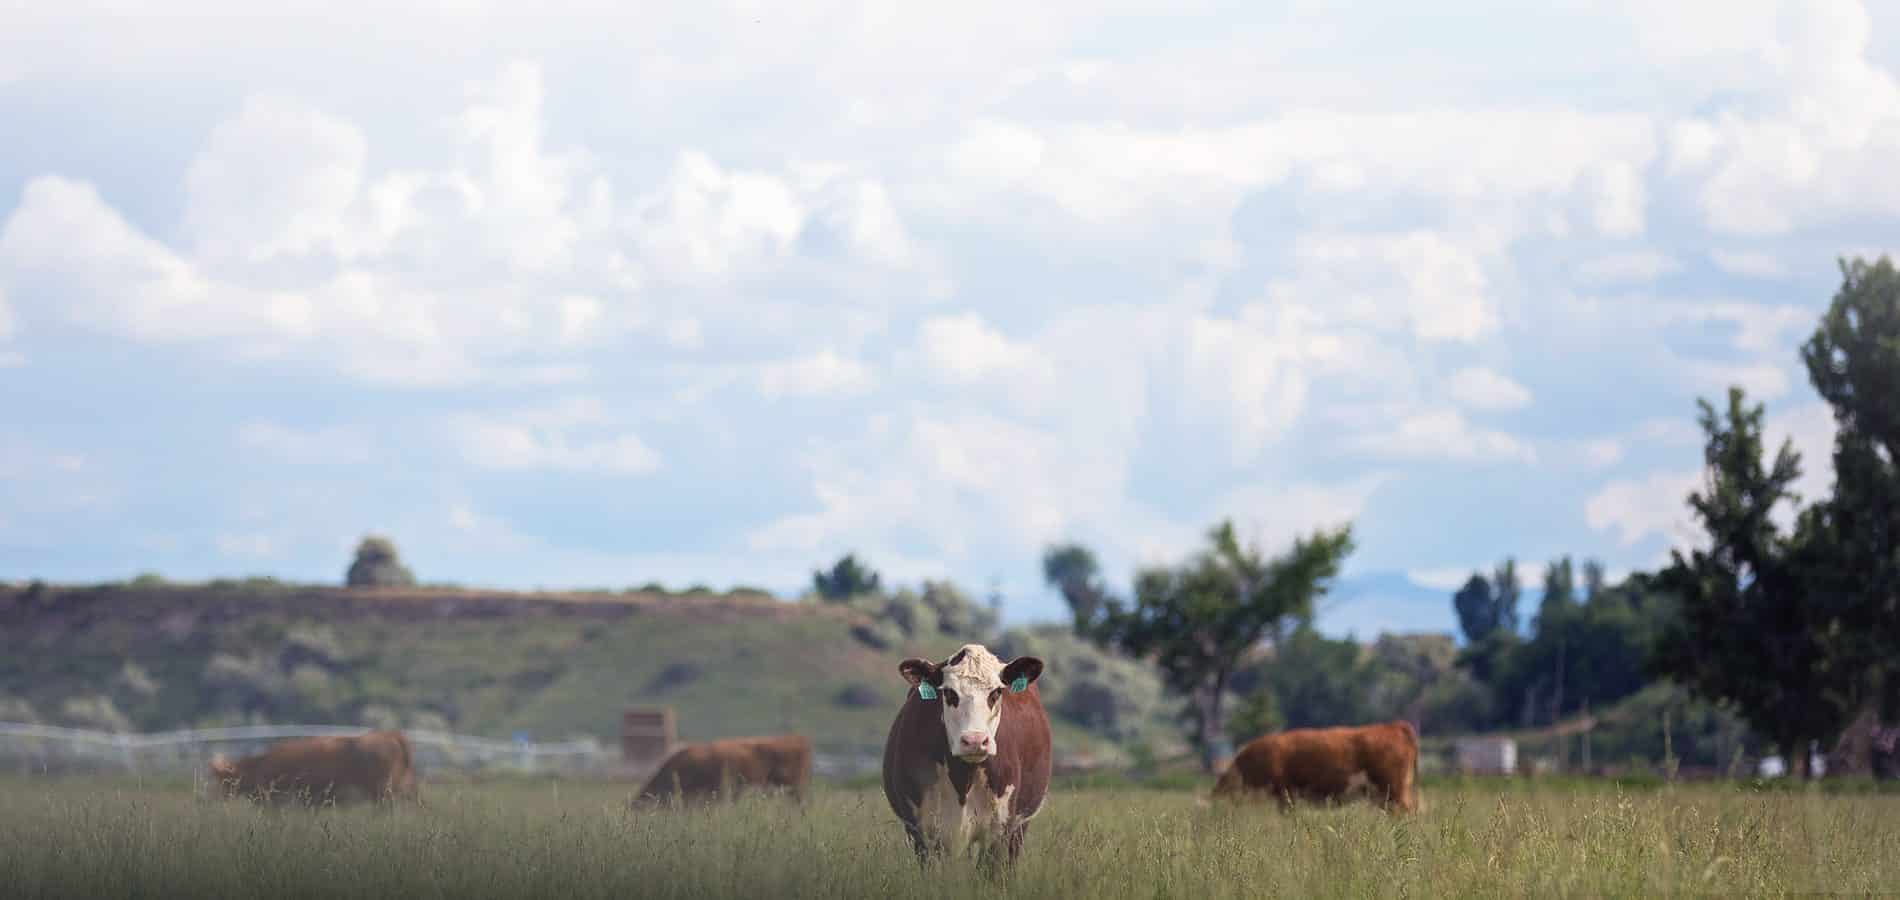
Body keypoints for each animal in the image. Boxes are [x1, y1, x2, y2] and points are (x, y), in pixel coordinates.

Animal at [882, 643, 1051, 869]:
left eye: (997, 691)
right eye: (949, 692)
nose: (974, 740)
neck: (963, 778)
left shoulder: (999, 832)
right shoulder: (922, 832)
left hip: (1019, 828)